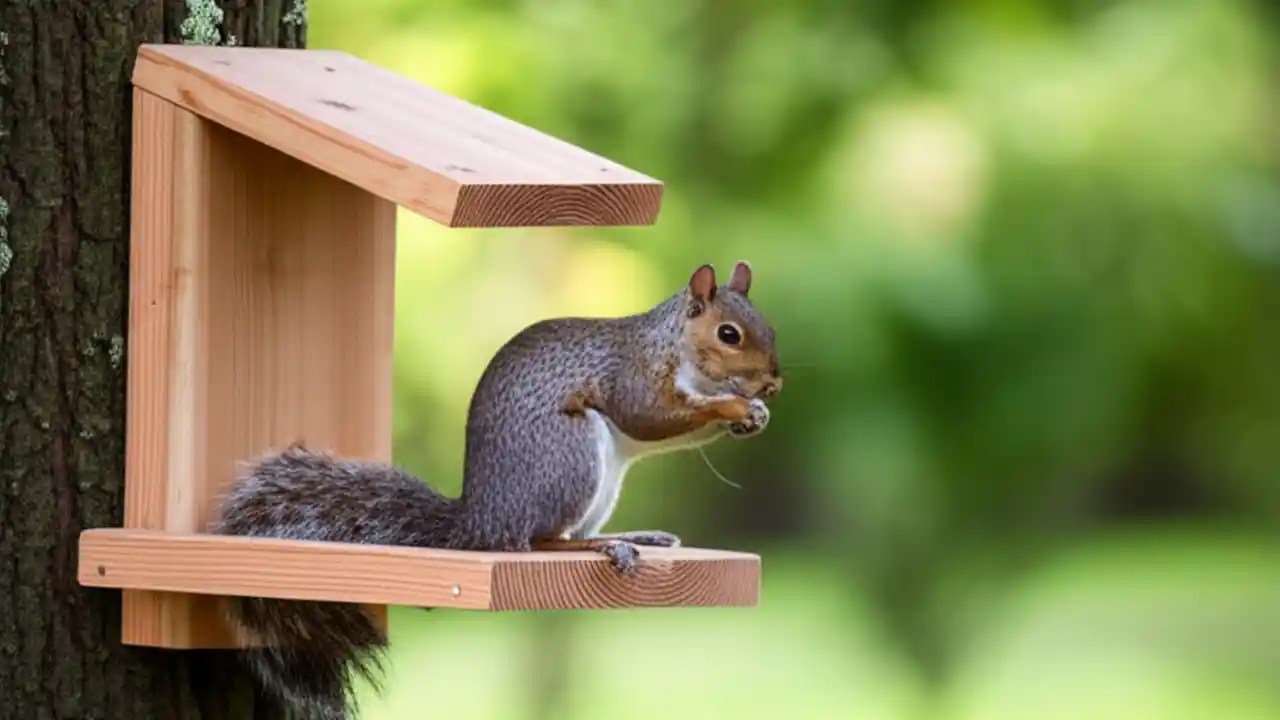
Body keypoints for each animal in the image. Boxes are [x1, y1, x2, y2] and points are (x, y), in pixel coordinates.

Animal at [210, 261, 782, 719]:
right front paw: (734, 405)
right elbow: (651, 416)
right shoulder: (632, 378)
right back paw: (605, 545)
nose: (773, 382)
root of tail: (481, 520)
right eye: (729, 334)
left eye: (769, 328)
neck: (675, 350)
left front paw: (754, 413)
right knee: (539, 541)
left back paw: (631, 536)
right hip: (571, 455)